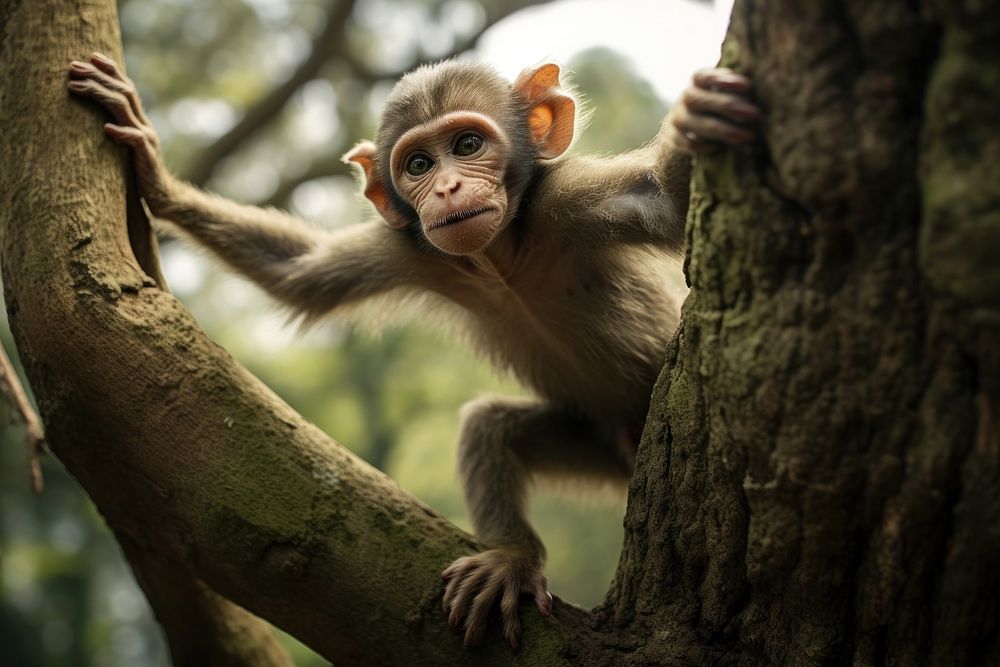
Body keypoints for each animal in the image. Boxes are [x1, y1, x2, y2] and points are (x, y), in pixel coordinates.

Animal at [68, 52, 757, 648]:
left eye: (468, 146)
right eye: (419, 164)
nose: (448, 187)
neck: (502, 258)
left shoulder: (571, 200)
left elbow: (662, 200)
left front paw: (697, 119)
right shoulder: (410, 249)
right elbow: (303, 276)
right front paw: (154, 172)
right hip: (605, 449)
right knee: (490, 427)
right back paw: (511, 557)